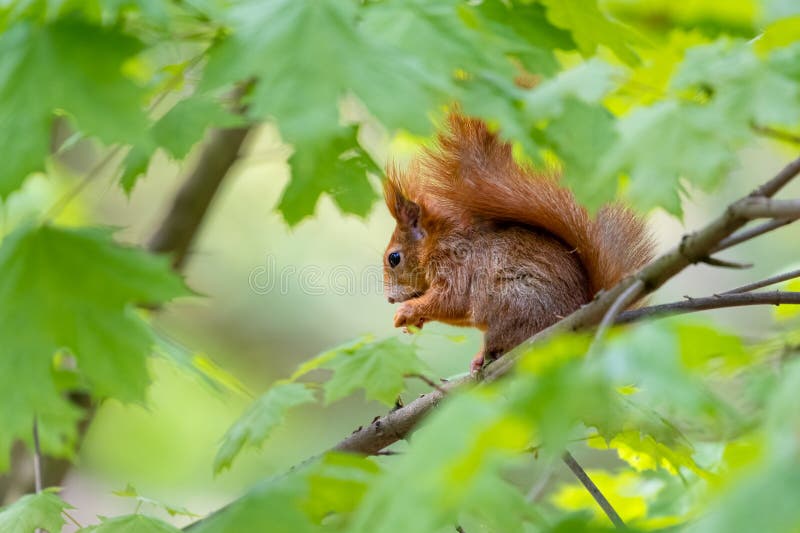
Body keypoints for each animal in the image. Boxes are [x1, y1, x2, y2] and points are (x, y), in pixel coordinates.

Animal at [382, 113, 654, 373]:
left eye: (394, 258)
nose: (389, 300)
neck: (435, 243)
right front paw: (413, 321)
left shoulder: (455, 263)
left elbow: (452, 301)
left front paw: (407, 311)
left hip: (510, 305)